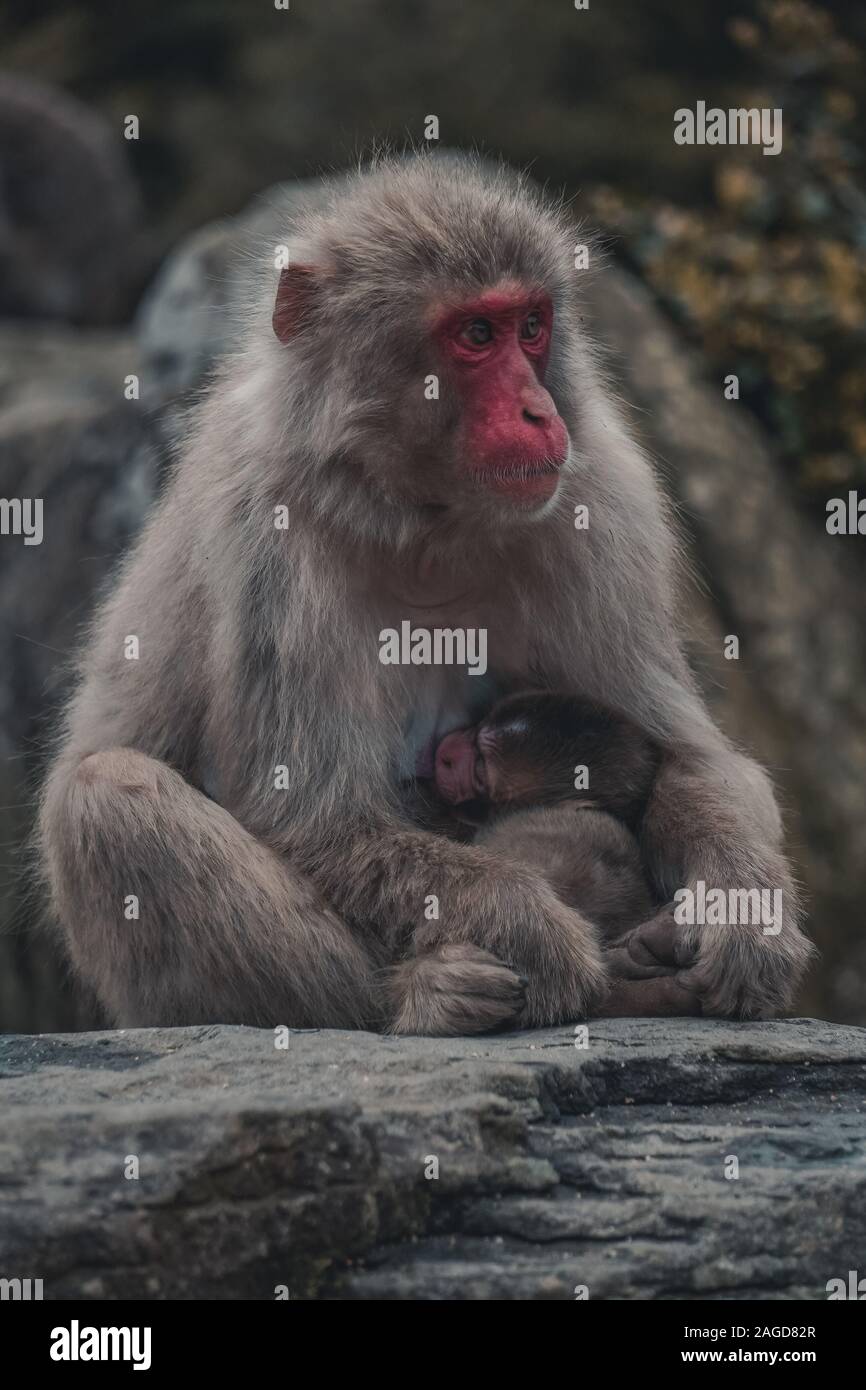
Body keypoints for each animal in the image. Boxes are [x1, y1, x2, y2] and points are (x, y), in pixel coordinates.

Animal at [38, 152, 812, 1037]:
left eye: (532, 325)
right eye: (476, 334)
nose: (538, 410)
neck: (421, 519)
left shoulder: (602, 498)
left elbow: (688, 757)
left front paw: (744, 920)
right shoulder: (264, 540)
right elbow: (317, 818)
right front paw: (533, 929)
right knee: (105, 800)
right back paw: (429, 995)